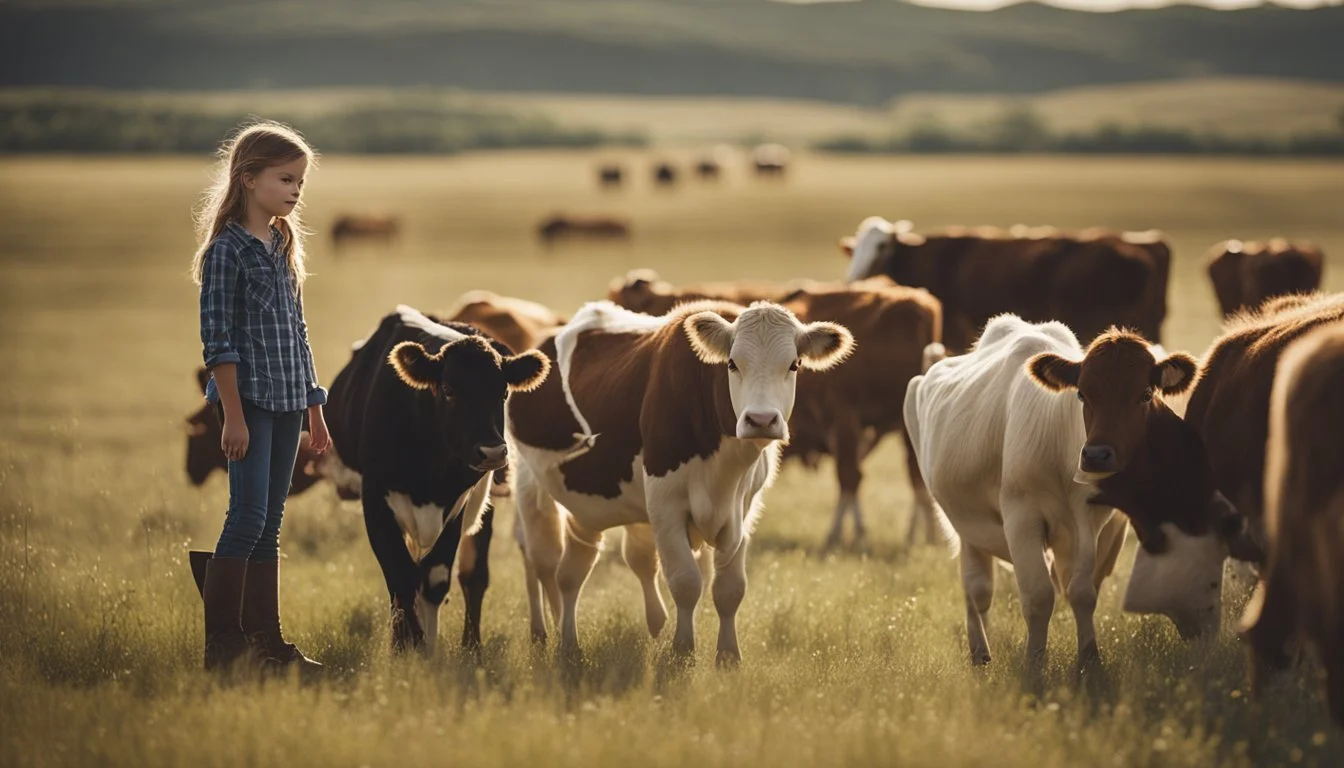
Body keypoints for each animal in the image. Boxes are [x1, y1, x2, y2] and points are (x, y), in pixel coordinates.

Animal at [323, 305, 549, 651]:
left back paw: (472, 647)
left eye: (503, 392)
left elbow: (435, 578)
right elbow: (400, 576)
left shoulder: (458, 505)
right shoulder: (375, 500)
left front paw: (427, 650)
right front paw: (407, 648)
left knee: (472, 575)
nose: (492, 451)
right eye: (449, 390)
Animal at [507, 300, 854, 664]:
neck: (723, 468)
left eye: (794, 364)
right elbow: (686, 582)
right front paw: (683, 651)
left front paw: (727, 657)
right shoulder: (665, 506)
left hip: (591, 507)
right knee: (541, 562)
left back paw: (580, 640)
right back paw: (548, 632)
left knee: (581, 569)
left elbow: (729, 588)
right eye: (732, 363)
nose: (761, 420)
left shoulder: (741, 510)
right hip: (529, 487)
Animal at [906, 315, 1242, 670]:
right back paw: (980, 652)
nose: (1096, 455)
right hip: (962, 522)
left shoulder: (1089, 522)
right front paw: (1035, 663)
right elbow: (1038, 595)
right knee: (976, 587)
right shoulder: (1021, 517)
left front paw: (1089, 659)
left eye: (1145, 393)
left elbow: (1082, 591)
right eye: (1082, 394)